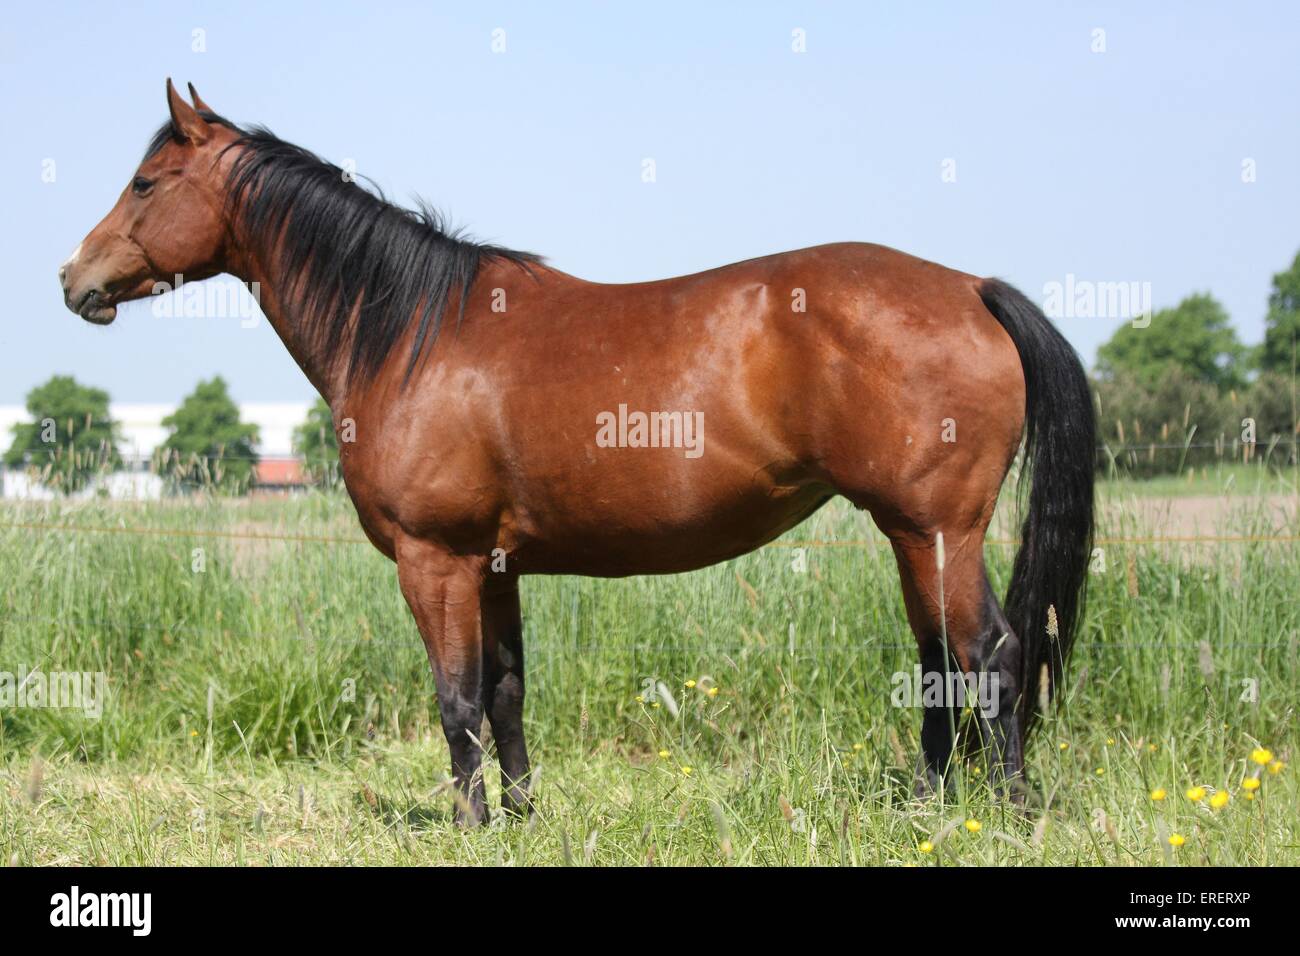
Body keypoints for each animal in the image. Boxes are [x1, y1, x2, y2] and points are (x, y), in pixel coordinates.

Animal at [59, 81, 1095, 825]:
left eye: (145, 184)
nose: (75, 279)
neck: (411, 334)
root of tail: (971, 288)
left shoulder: (435, 561)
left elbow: (456, 700)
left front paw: (473, 827)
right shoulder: (495, 566)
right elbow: (507, 694)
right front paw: (520, 818)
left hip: (932, 530)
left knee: (991, 655)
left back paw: (1005, 817)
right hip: (913, 535)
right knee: (941, 663)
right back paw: (926, 811)